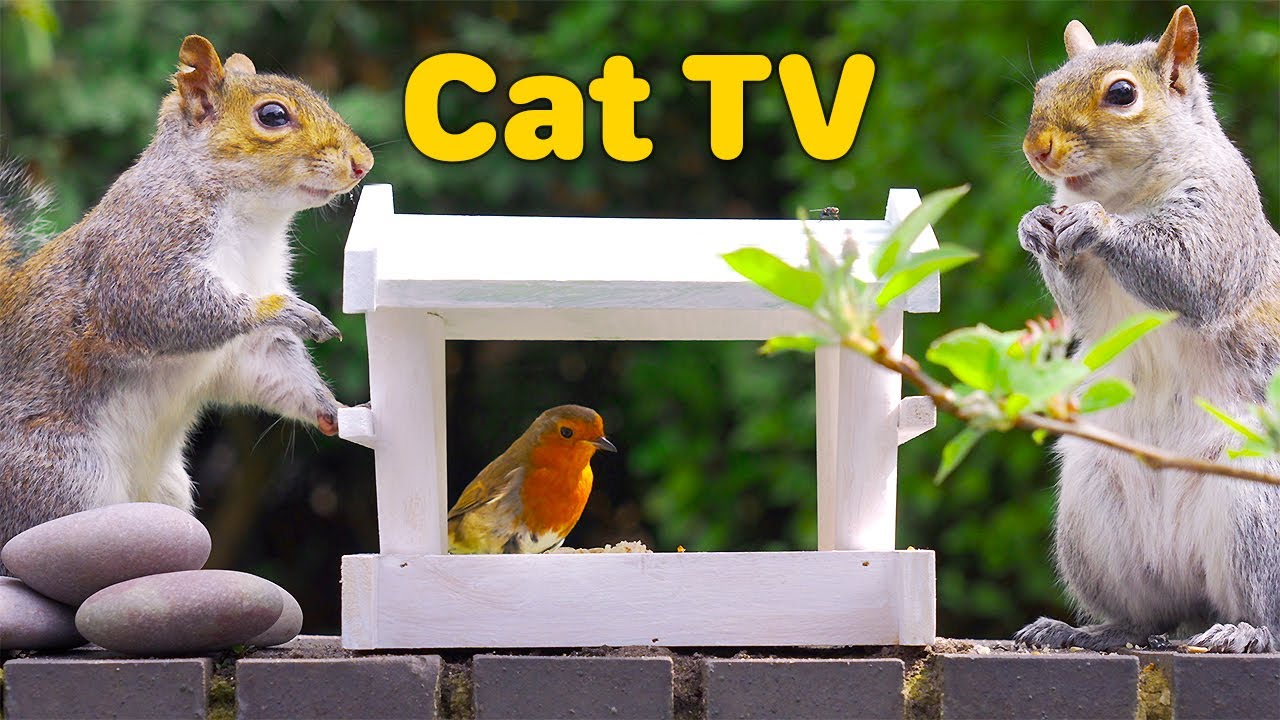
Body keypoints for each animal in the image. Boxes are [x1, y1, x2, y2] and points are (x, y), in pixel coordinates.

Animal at [0, 36, 373, 569]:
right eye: (273, 115)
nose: (362, 162)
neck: (254, 221)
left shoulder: (250, 349)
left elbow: (270, 369)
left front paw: (335, 411)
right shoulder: (144, 253)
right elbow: (167, 309)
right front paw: (289, 311)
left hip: (165, 492)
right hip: (62, 476)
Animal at [1012, 6, 1280, 653]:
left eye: (1121, 94)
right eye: (1042, 87)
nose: (1038, 149)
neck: (1125, 194)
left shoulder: (1222, 213)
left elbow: (1188, 272)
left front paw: (1095, 223)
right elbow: (1083, 309)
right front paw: (1035, 224)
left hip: (1255, 500)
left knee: (1261, 608)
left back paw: (1244, 630)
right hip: (1091, 513)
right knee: (1147, 615)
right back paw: (1085, 629)